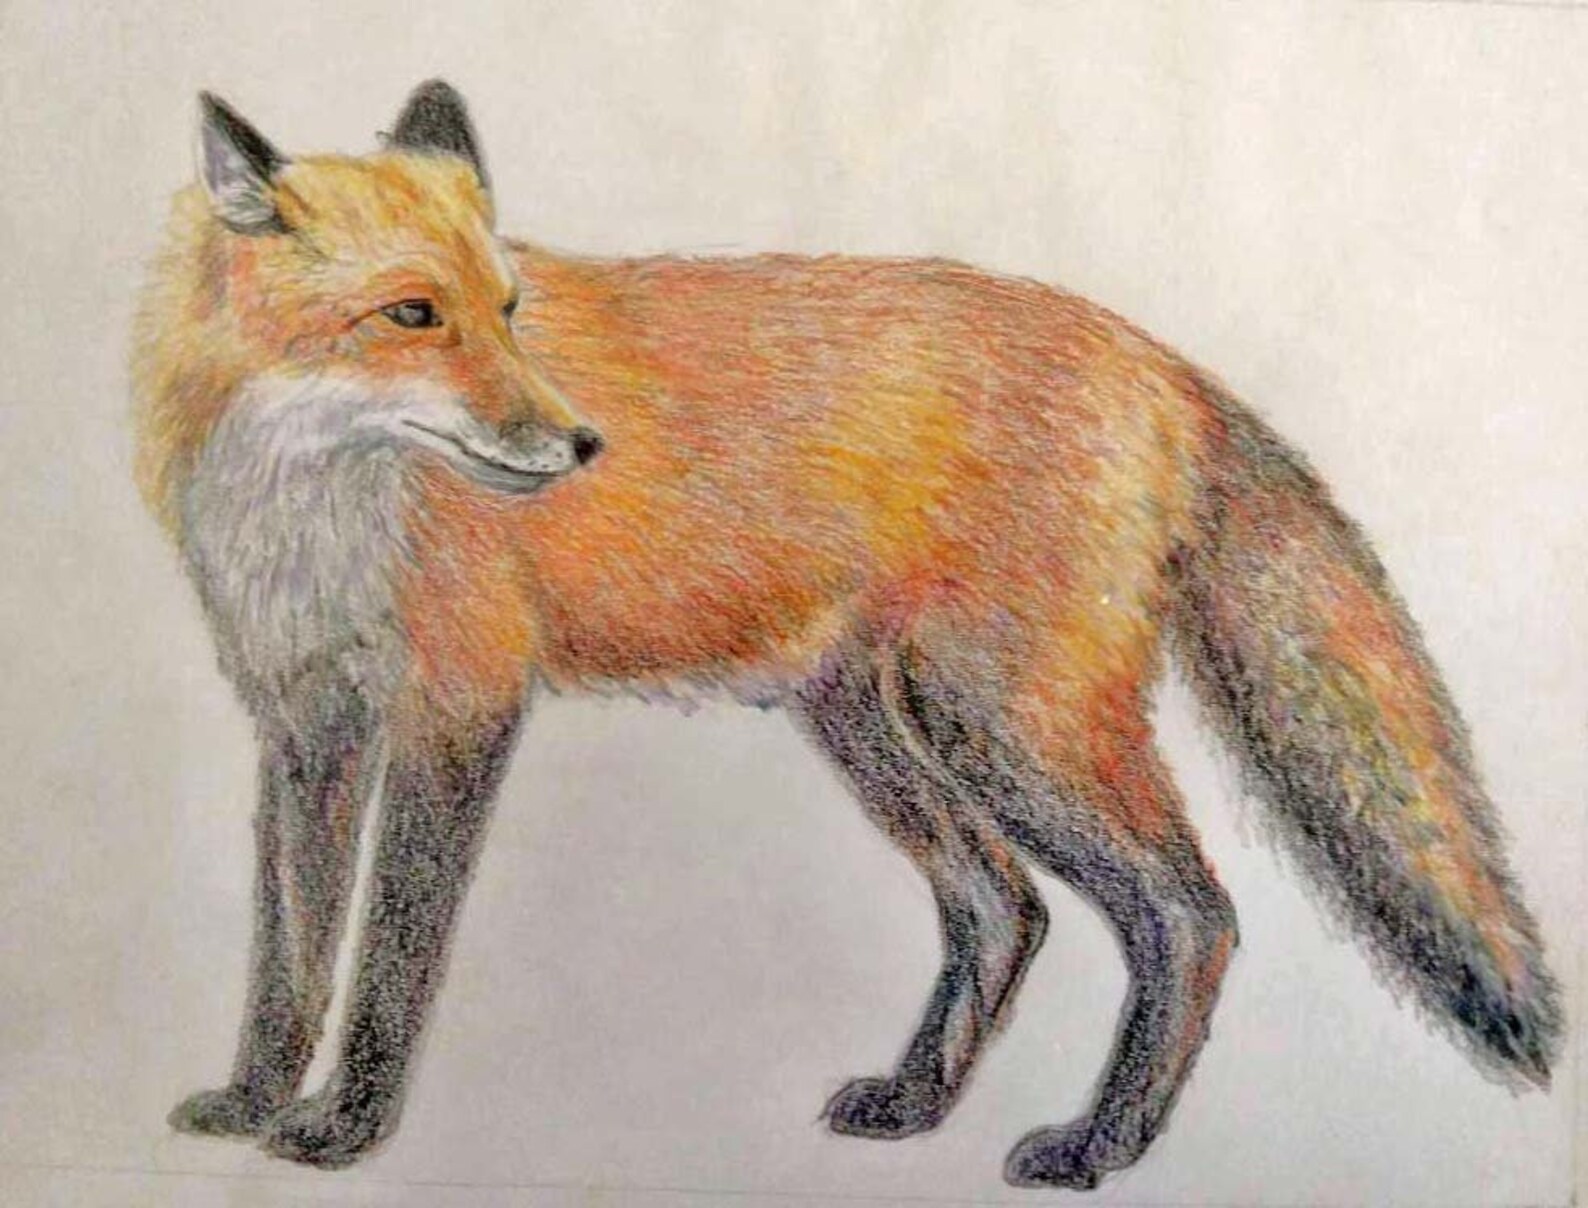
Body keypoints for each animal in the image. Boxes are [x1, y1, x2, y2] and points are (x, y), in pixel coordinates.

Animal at [132, 80, 1561, 1190]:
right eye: (413, 315)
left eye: (509, 307)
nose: (582, 443)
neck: (309, 500)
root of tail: (1158, 356)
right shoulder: (307, 724)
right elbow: (289, 954)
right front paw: (253, 1102)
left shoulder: (457, 704)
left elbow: (387, 957)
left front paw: (343, 1127)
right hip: (875, 726)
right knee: (1005, 908)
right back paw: (918, 1101)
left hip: (1007, 727)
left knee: (1187, 913)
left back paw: (1101, 1147)